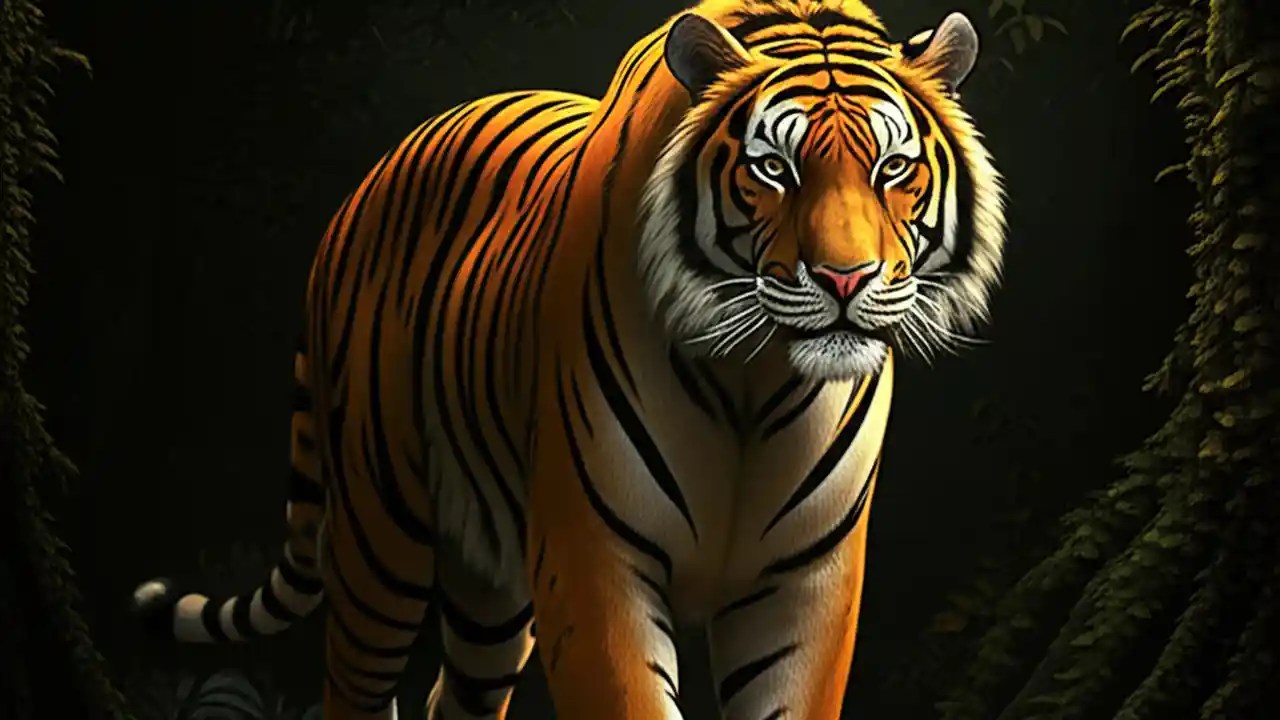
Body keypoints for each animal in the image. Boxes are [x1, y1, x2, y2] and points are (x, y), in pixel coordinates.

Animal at [131, 0, 1006, 718]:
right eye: (772, 168)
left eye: (893, 167)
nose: (844, 278)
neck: (754, 380)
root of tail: (365, 186)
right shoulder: (595, 560)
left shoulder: (805, 583)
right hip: (380, 534)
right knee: (355, 686)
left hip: (488, 579)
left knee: (457, 693)